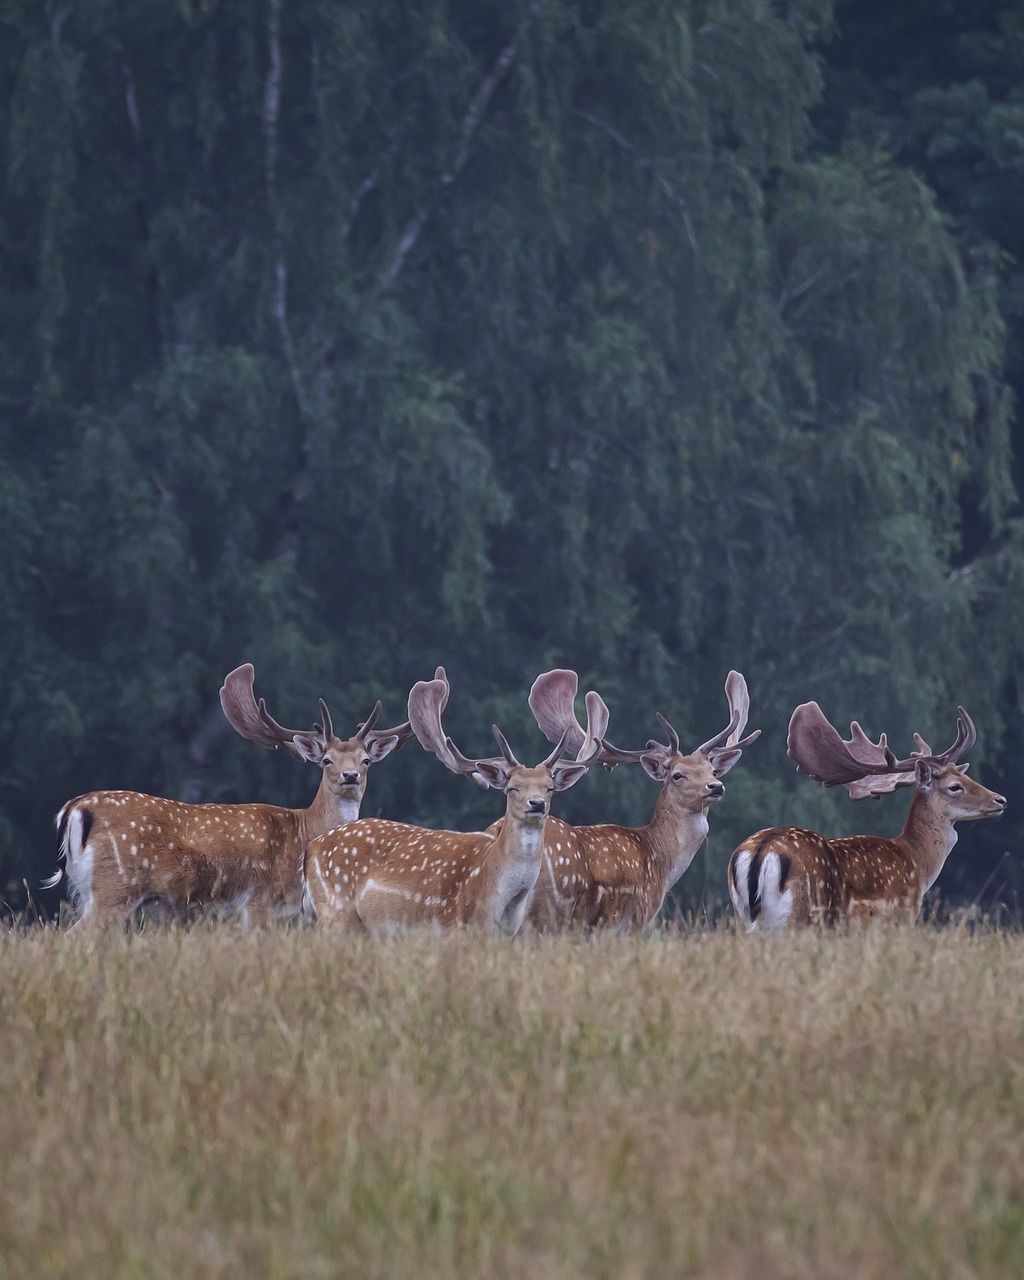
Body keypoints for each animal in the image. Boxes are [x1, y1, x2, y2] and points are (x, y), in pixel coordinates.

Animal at [50, 663, 413, 926]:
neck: (303, 835)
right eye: (326, 760)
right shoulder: (258, 902)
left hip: (88, 891)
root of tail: (75, 808)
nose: (350, 776)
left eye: (365, 760)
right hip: (113, 888)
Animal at [301, 667, 590, 933]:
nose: (537, 804)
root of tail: (311, 848)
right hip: (336, 912)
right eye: (512, 788)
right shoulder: (455, 925)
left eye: (550, 788)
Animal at [512, 669, 760, 932]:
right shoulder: (634, 918)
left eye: (712, 771)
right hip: (550, 910)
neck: (661, 863)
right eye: (677, 775)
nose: (716, 787)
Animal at [727, 701, 1007, 932]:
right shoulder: (899, 918)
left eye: (964, 776)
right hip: (799, 917)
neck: (916, 862)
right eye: (955, 787)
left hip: (743, 918)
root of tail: (761, 851)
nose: (1000, 800)